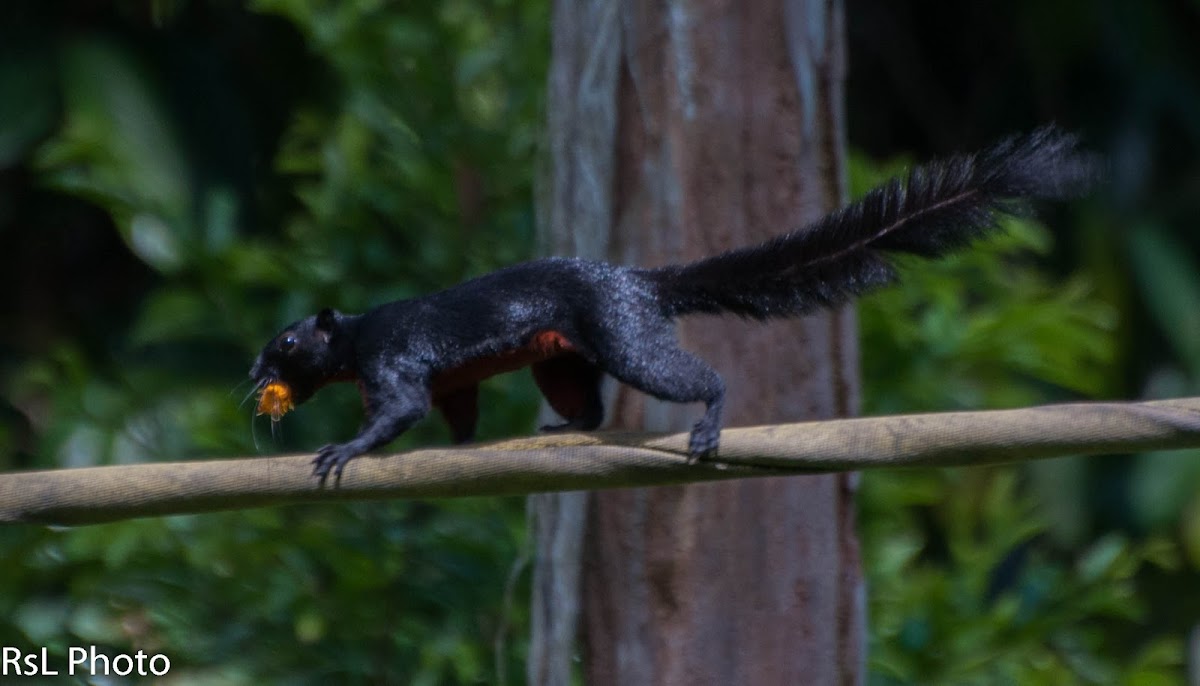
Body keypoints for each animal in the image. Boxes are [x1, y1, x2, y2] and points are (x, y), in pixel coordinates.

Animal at [249, 128, 1098, 484]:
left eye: (286, 343)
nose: (255, 375)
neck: (355, 337)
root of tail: (641, 282)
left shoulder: (393, 358)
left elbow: (400, 410)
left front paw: (344, 449)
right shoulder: (450, 379)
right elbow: (454, 414)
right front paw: (462, 449)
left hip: (624, 340)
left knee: (694, 378)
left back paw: (709, 421)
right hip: (566, 359)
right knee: (589, 405)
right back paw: (564, 428)